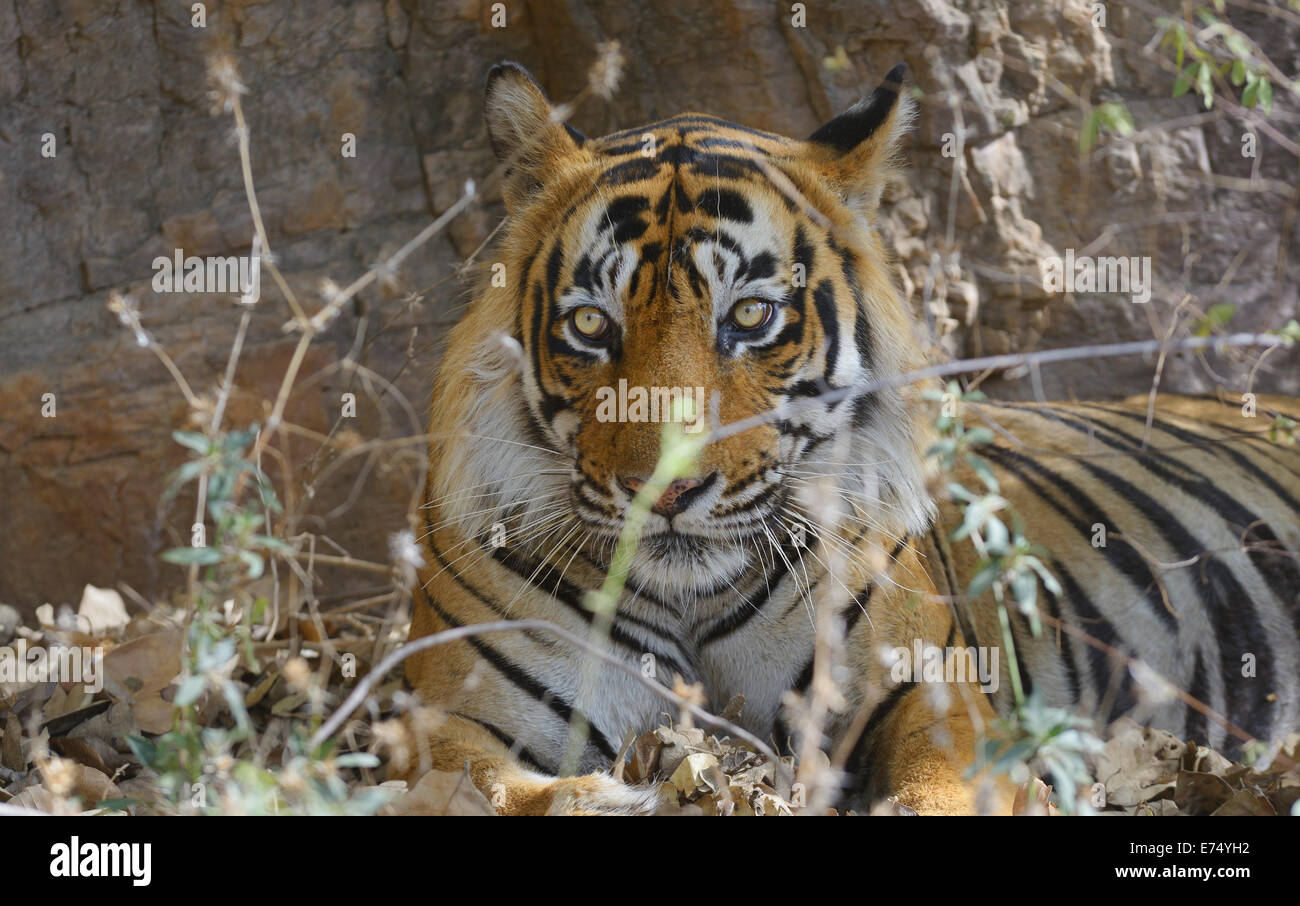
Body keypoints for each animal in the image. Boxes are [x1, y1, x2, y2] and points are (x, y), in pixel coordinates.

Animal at [401, 60, 1300, 815]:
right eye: (592, 325)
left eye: (750, 316)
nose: (667, 492)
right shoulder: (450, 719)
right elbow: (499, 792)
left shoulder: (931, 694)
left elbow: (936, 792)